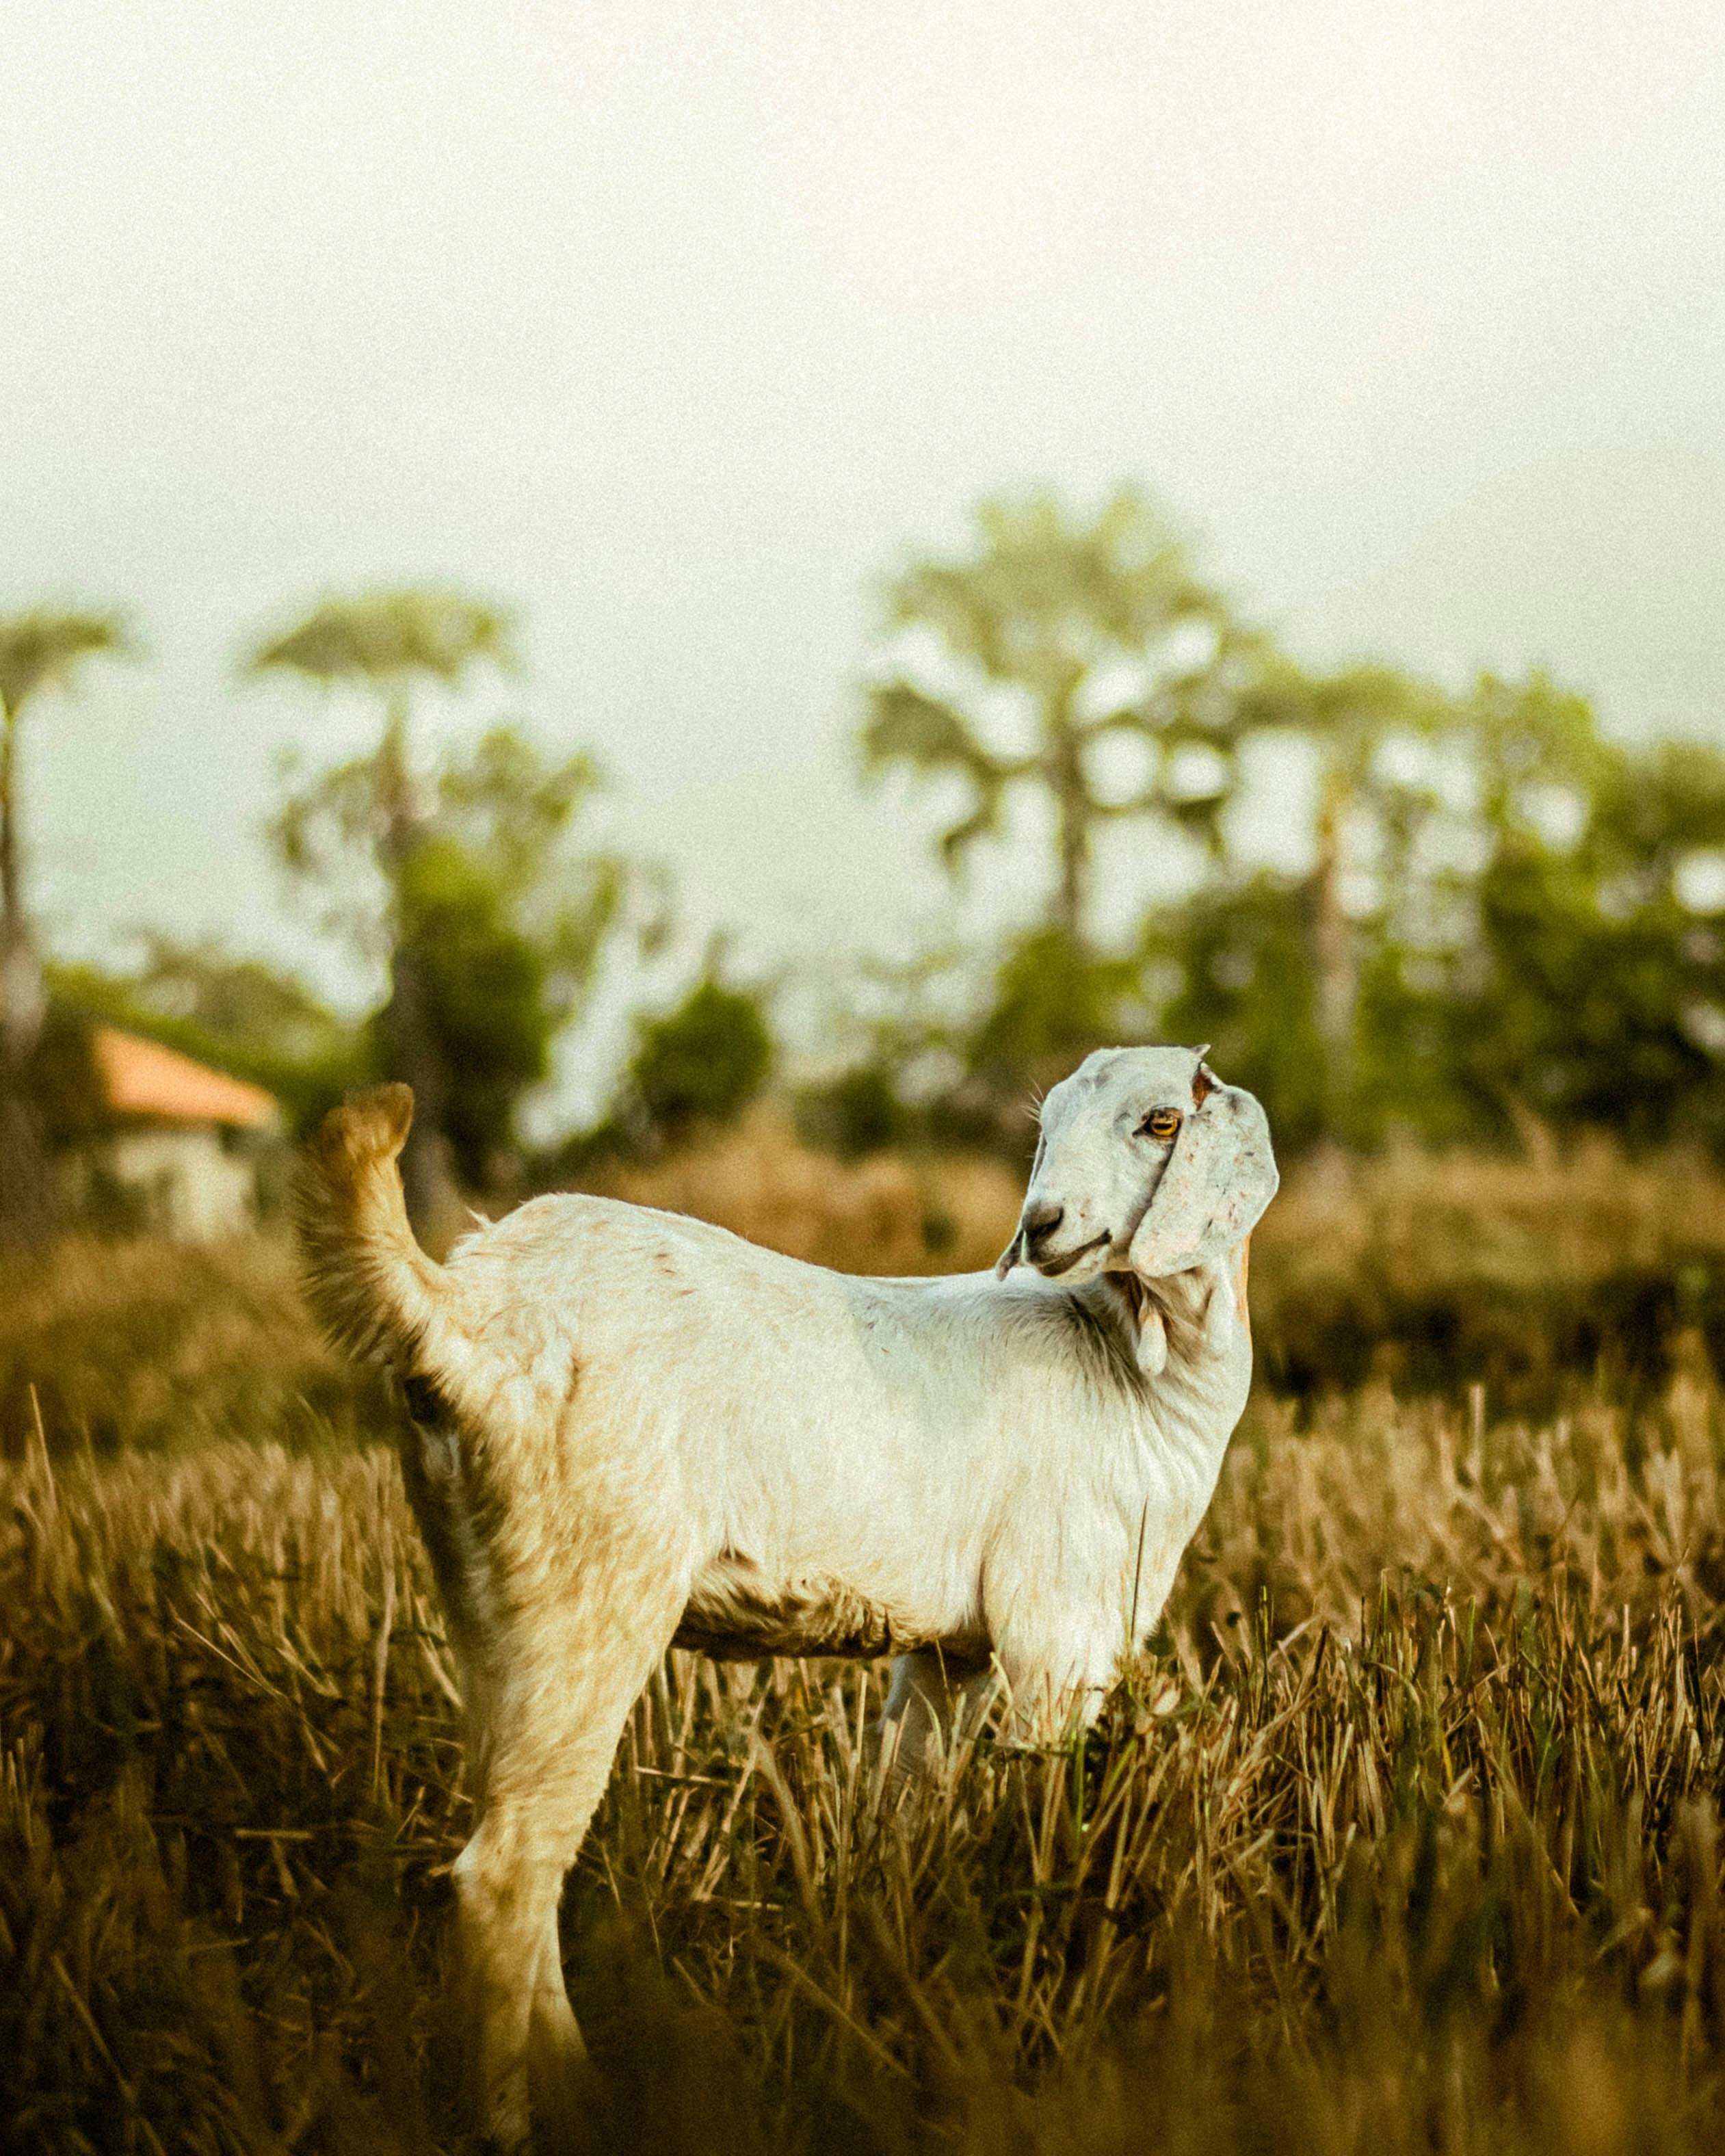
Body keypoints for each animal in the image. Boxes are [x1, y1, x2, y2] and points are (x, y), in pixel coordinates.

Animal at [295, 1043, 1278, 2147]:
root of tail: (461, 1310)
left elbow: (909, 1812)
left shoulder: (950, 1655)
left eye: (1161, 1121)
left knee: (518, 1847)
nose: (1042, 1225)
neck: (1133, 1372)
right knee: (505, 1870)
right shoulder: (1057, 1635)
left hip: (486, 1595)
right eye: (1049, 1125)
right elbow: (1046, 1809)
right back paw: (518, 2122)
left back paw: (583, 2092)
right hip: (592, 1578)